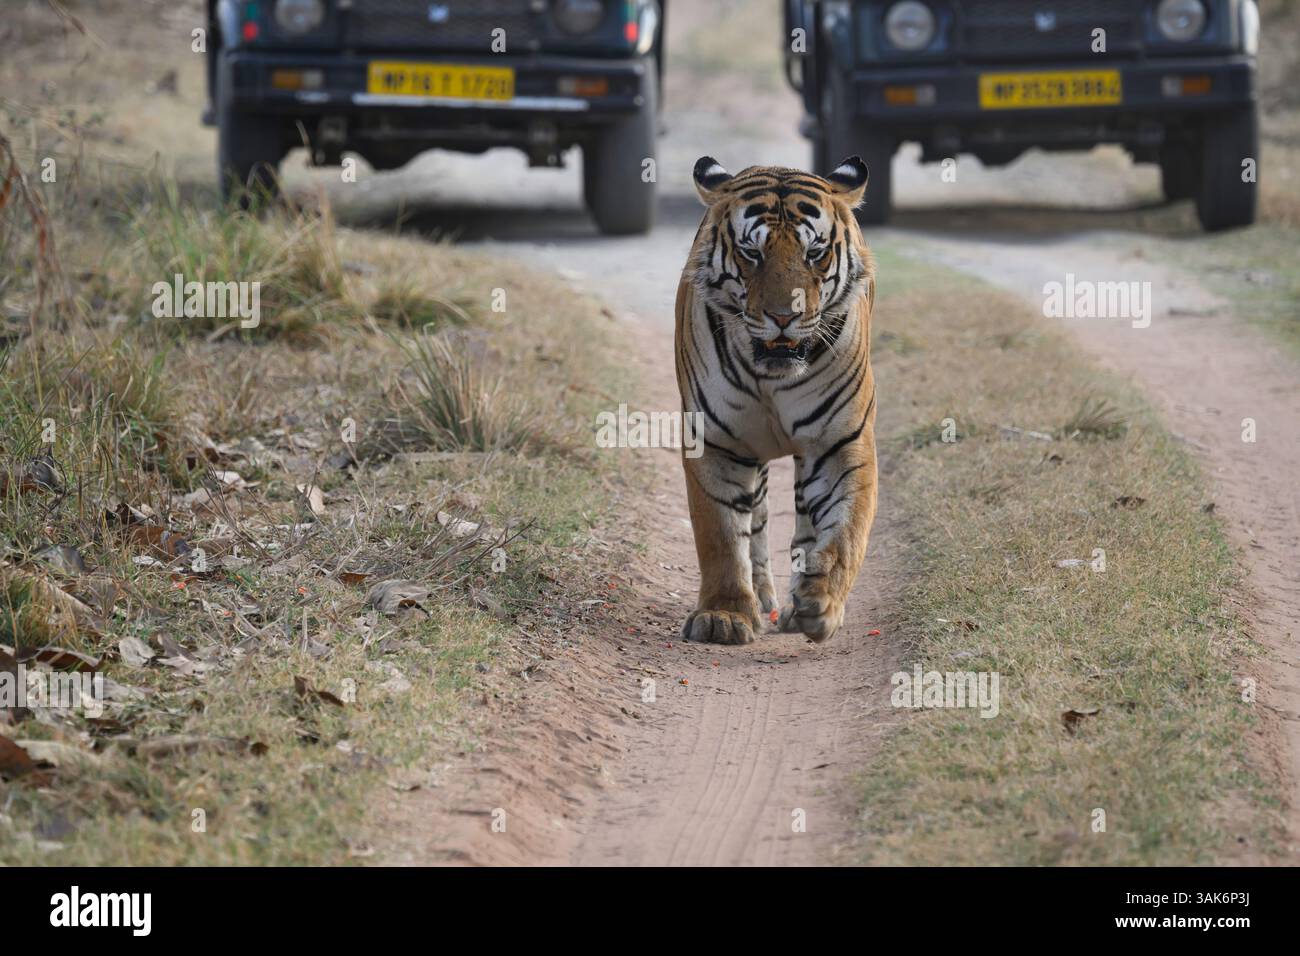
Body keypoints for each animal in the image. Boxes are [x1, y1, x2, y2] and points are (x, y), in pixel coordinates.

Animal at [674, 155, 878, 645]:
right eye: (752, 254)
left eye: (814, 253)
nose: (784, 316)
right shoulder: (716, 442)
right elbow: (721, 534)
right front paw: (724, 615)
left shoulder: (841, 443)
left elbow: (846, 532)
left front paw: (819, 602)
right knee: (758, 521)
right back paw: (762, 595)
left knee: (805, 520)